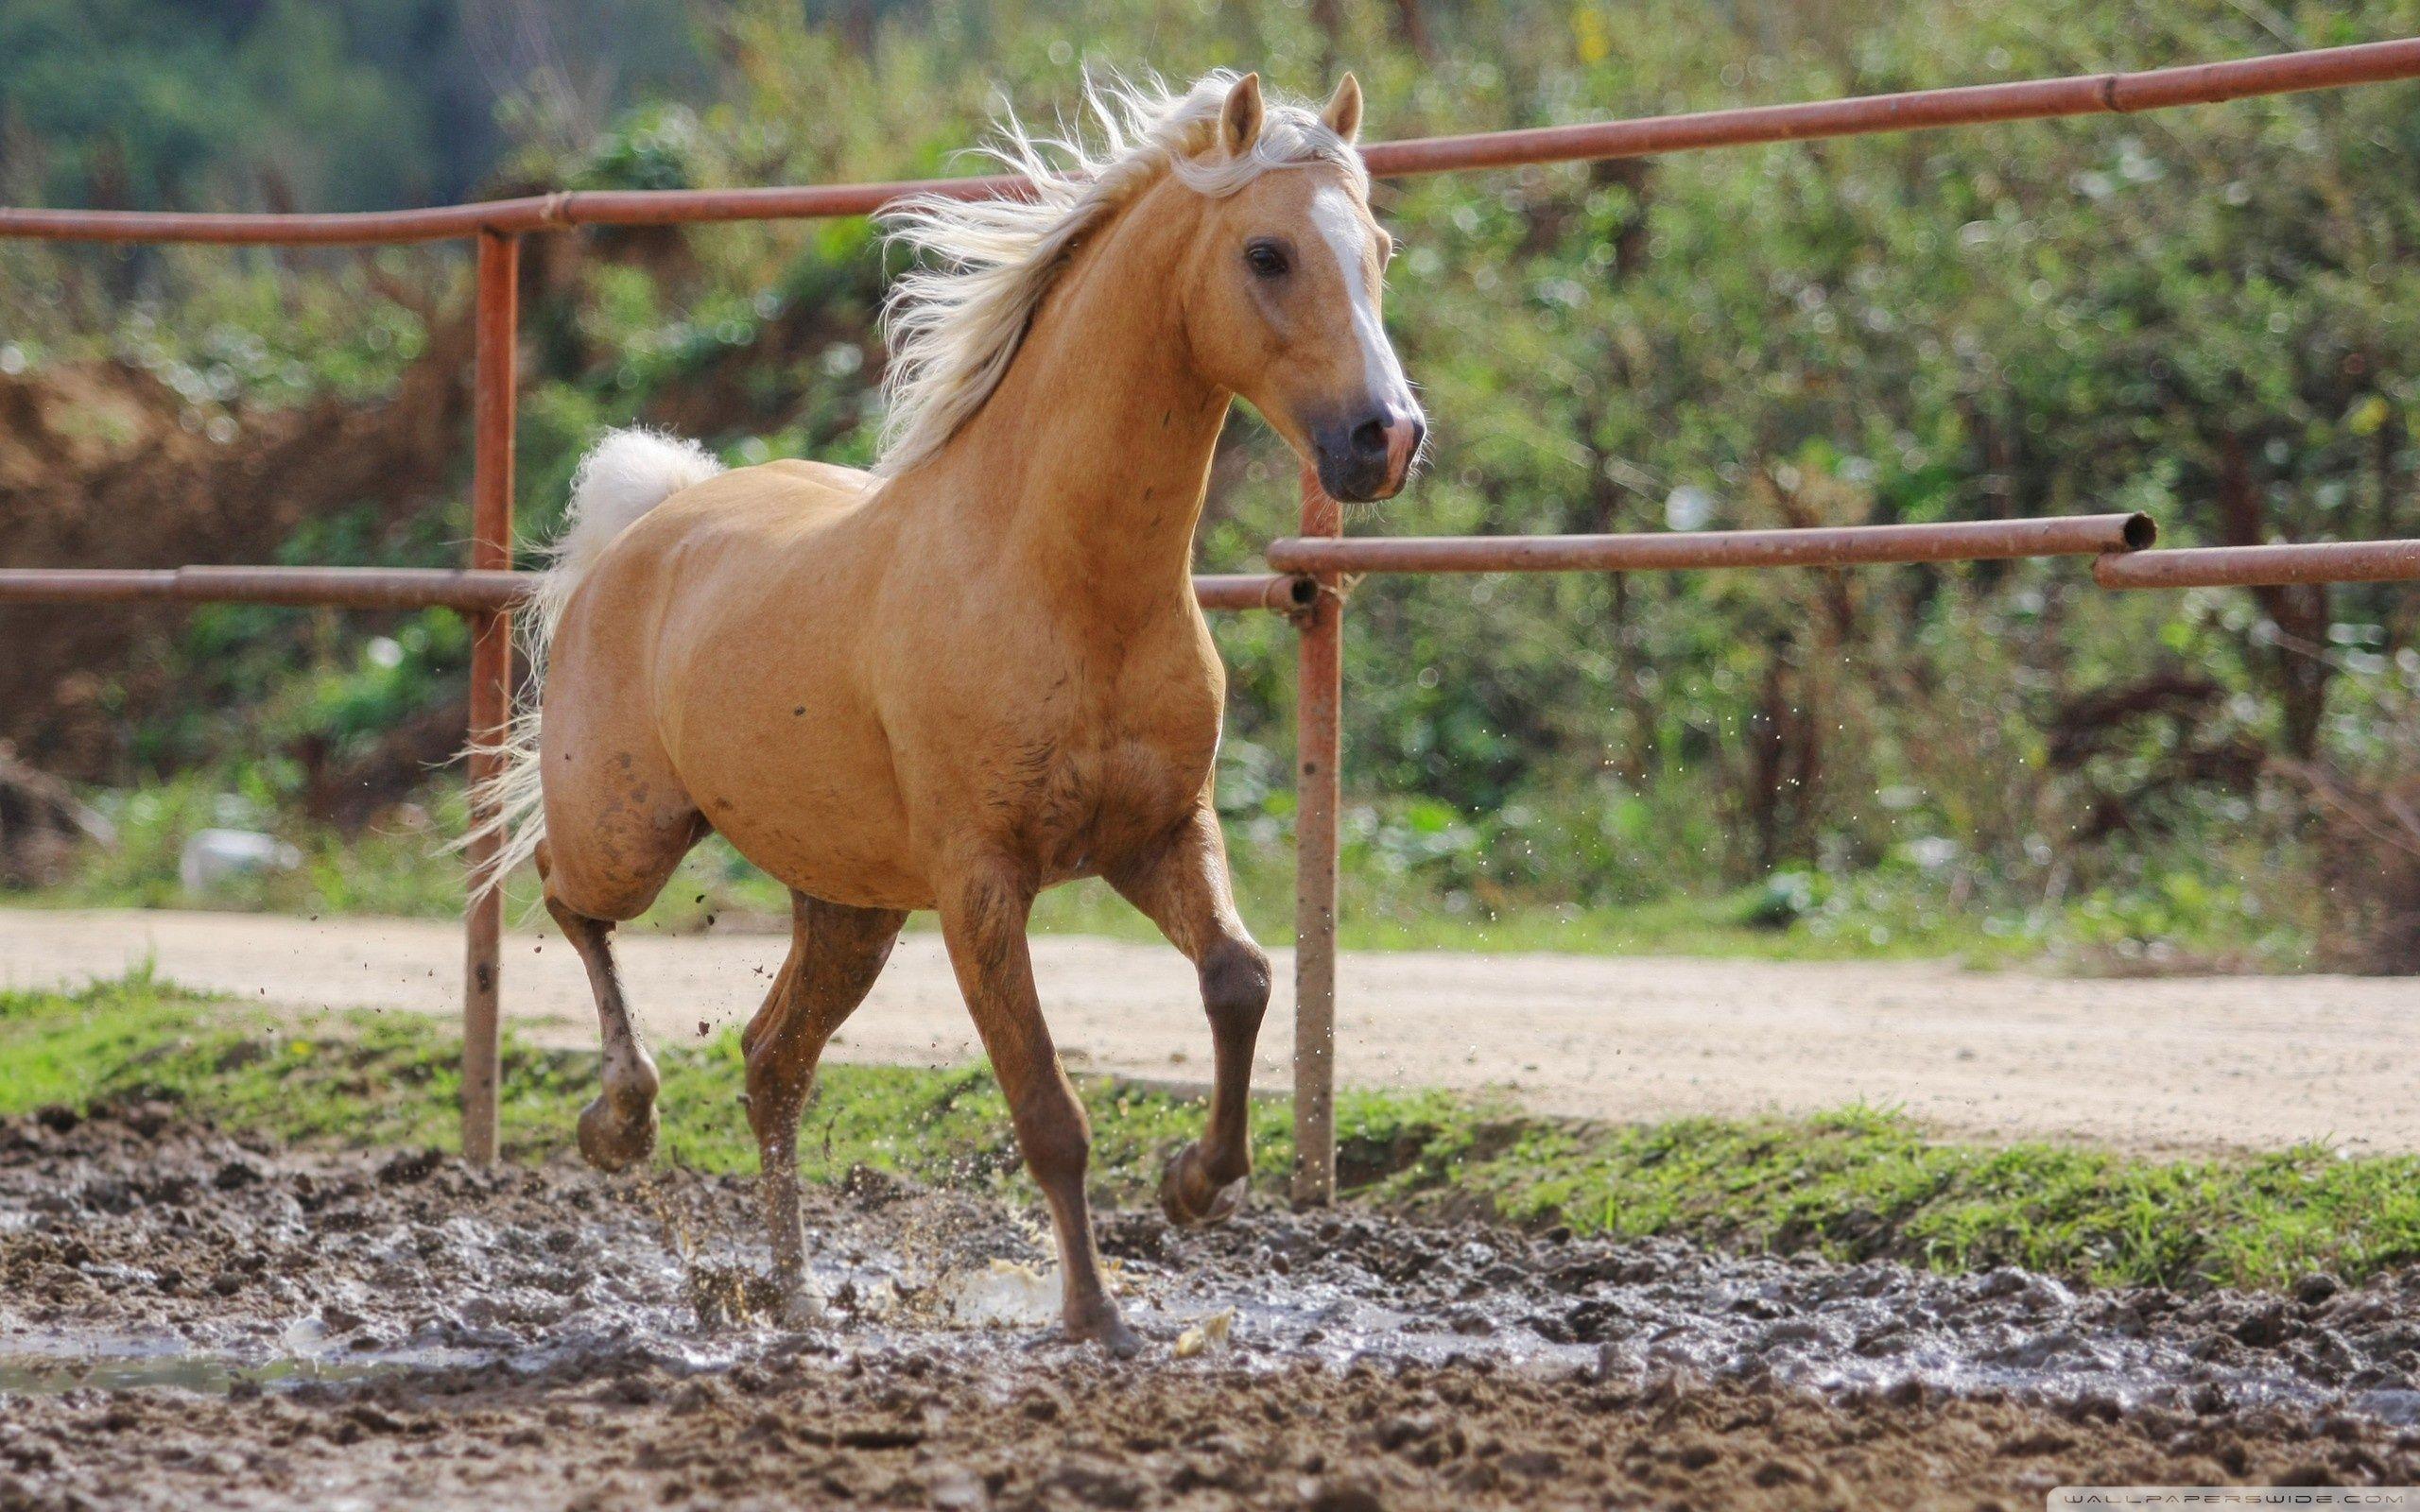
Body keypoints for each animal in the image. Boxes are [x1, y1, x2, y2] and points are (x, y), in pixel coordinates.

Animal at [470, 70, 1423, 1357]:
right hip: (632, 832)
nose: (1386, 437)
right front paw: (1094, 1315)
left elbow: (1242, 977)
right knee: (570, 901)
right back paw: (622, 1119)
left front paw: (1195, 1183)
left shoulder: (1160, 833)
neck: (1063, 581)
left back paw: (795, 1296)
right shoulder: (982, 883)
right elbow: (1049, 1109)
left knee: (773, 1062)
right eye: (1267, 253)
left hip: (851, 905)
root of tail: (649, 520)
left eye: (1376, 249)